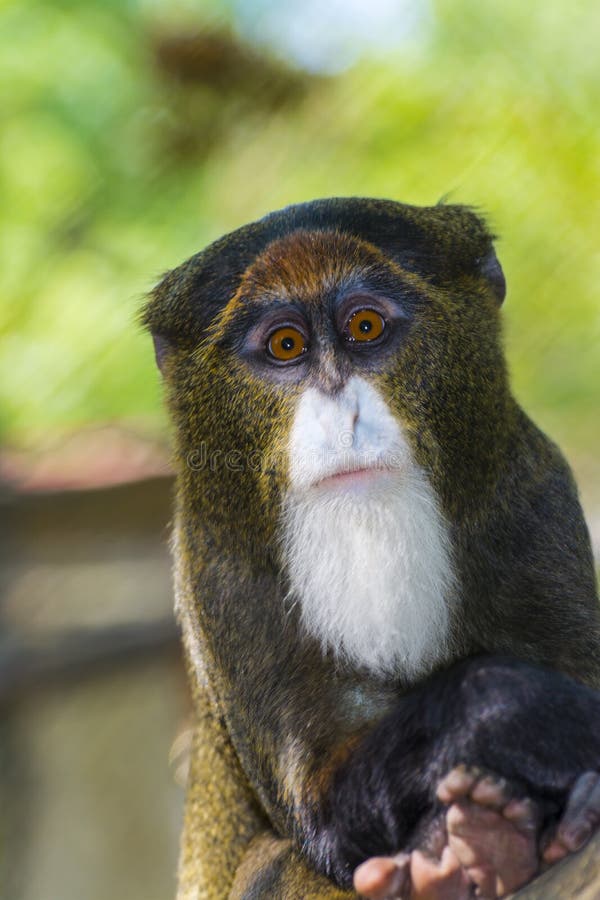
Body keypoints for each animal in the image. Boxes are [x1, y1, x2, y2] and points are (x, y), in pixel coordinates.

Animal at [142, 198, 600, 900]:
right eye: (286, 345)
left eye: (364, 326)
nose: (344, 415)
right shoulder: (216, 574)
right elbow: (322, 810)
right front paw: (537, 716)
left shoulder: (532, 493)